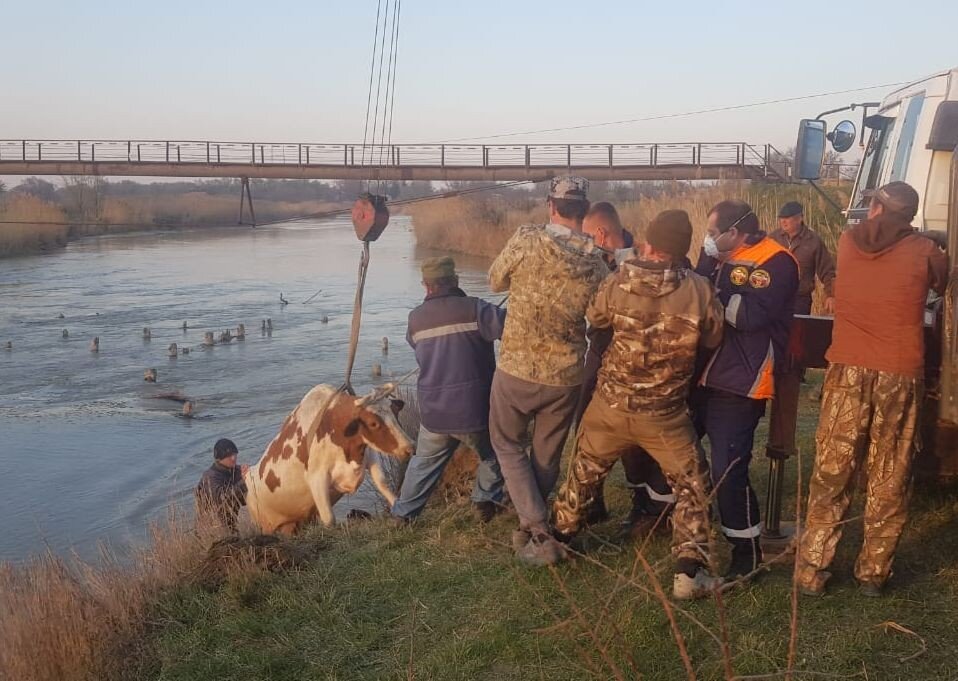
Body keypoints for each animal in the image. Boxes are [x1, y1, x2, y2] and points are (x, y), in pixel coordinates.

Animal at [244, 382, 412, 532]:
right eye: (373, 423)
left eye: (395, 413)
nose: (410, 447)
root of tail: (249, 473)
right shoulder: (317, 478)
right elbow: (329, 519)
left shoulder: (370, 456)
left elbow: (384, 485)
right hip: (264, 525)